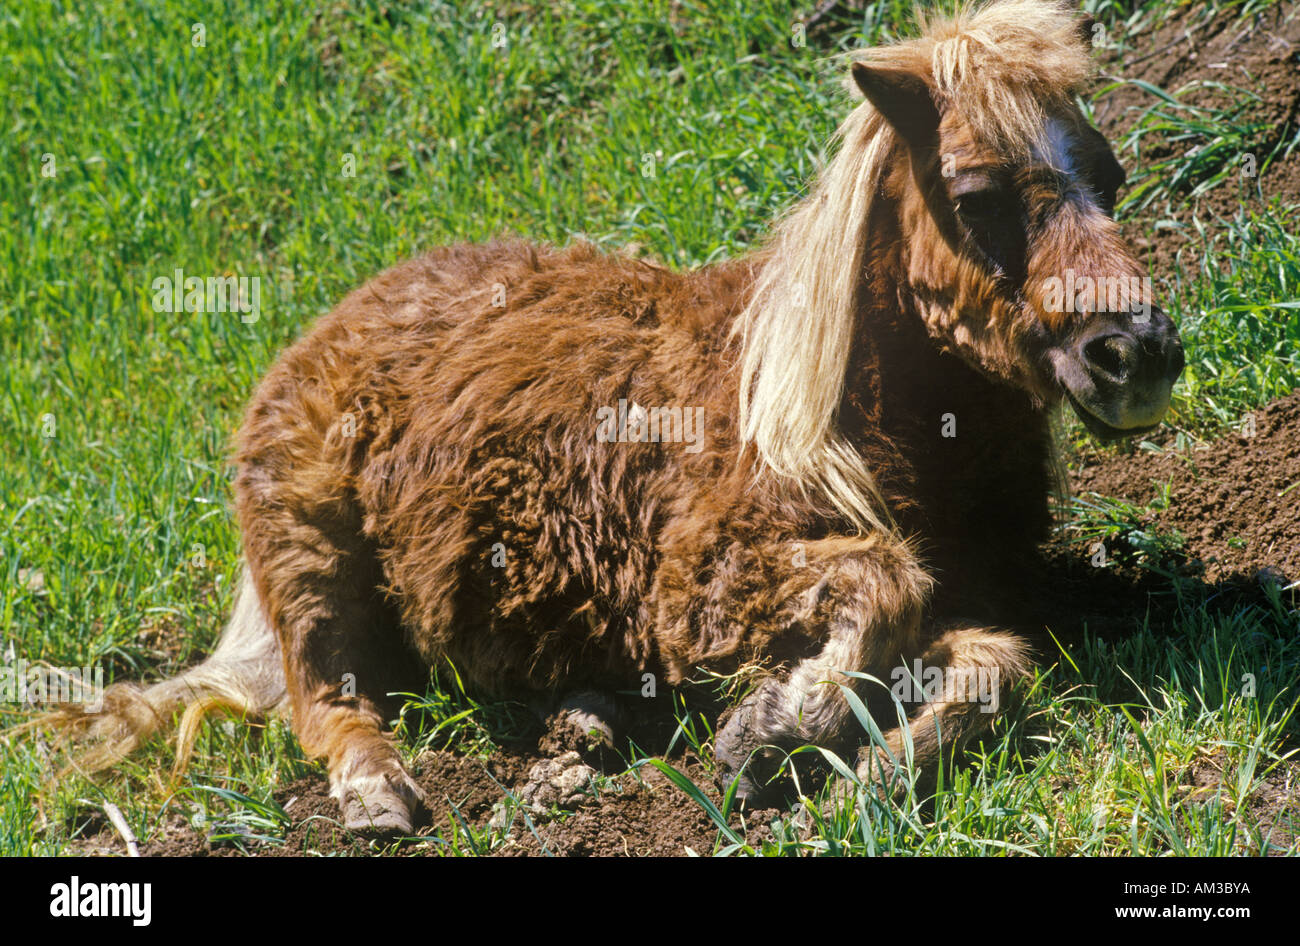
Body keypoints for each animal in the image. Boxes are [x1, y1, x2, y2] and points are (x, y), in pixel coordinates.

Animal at [50, 0, 1183, 834]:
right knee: (326, 703)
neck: (852, 418)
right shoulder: (707, 586)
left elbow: (997, 667)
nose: (1137, 354)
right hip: (309, 552)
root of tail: (332, 321)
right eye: (978, 194)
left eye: (1110, 175)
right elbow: (886, 581)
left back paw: (586, 717)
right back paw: (380, 792)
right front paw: (770, 730)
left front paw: (847, 775)